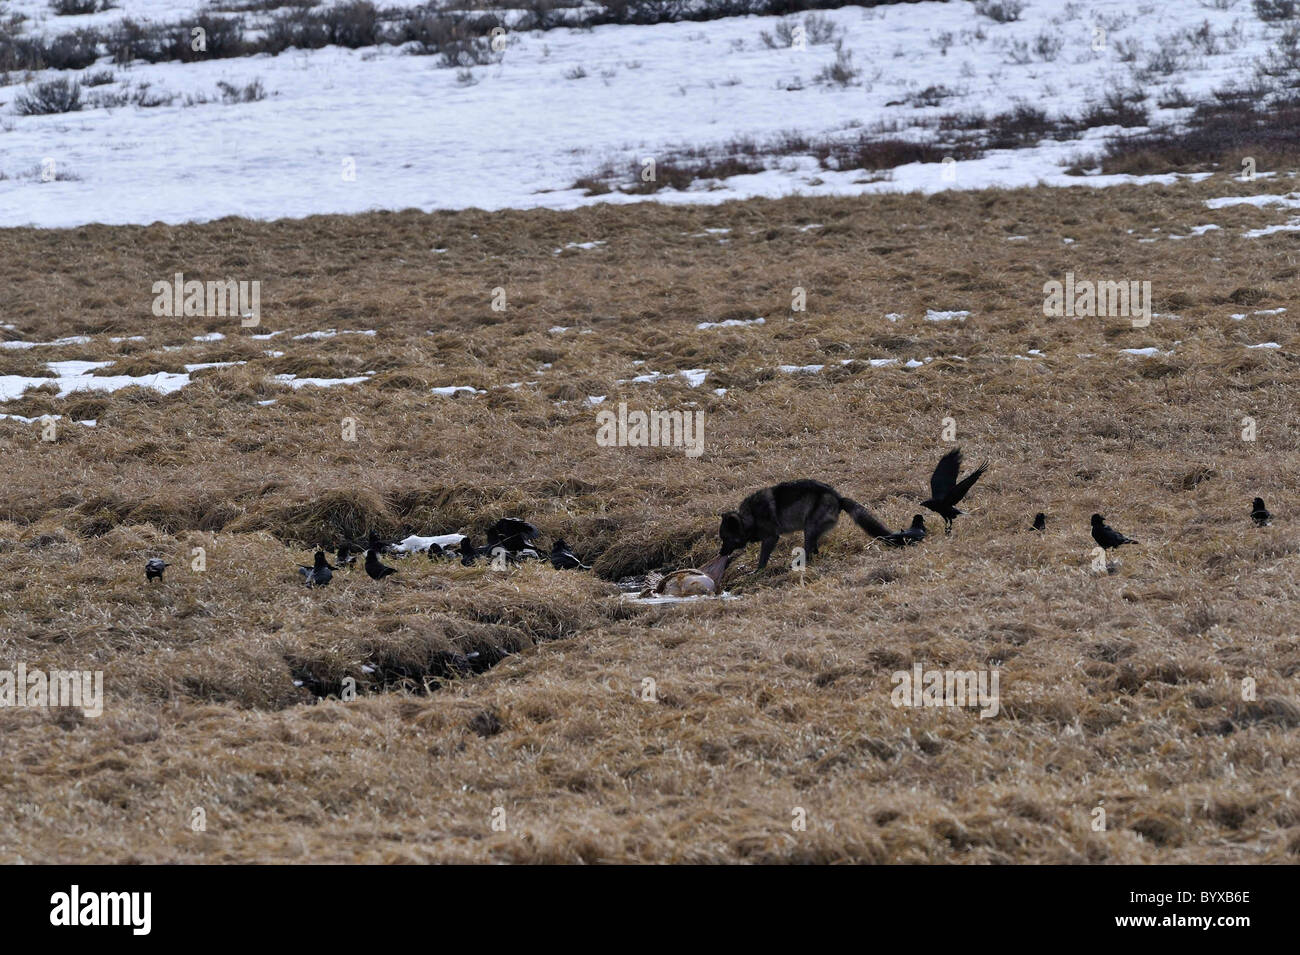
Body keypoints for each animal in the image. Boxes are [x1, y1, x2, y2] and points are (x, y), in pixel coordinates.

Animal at [719, 479, 898, 569]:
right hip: (811, 531)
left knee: (810, 553)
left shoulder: (771, 538)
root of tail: (838, 498)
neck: (750, 518)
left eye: (726, 538)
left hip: (808, 529)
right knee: (814, 551)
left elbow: (763, 559)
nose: (720, 554)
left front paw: (757, 572)